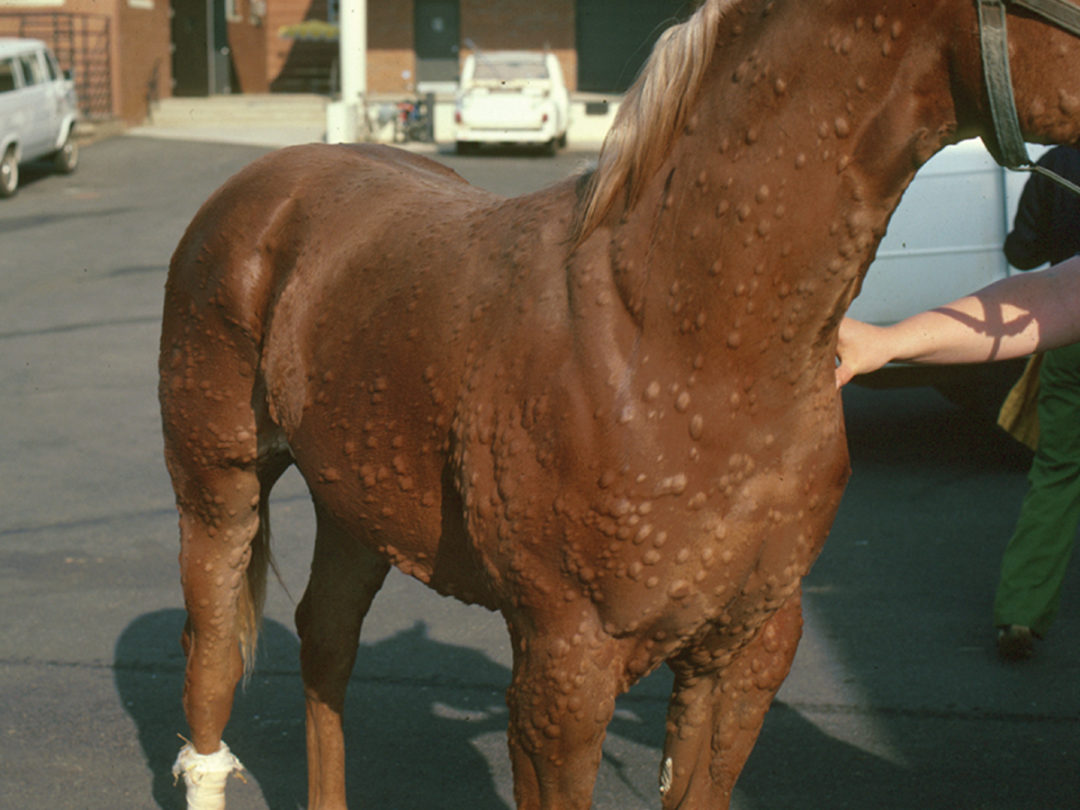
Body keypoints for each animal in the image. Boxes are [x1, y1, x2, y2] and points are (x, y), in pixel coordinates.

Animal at [161, 1, 1080, 807]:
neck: (680, 339)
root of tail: (262, 191)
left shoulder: (742, 655)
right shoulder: (565, 671)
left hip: (356, 505)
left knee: (326, 644)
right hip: (218, 494)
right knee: (209, 678)